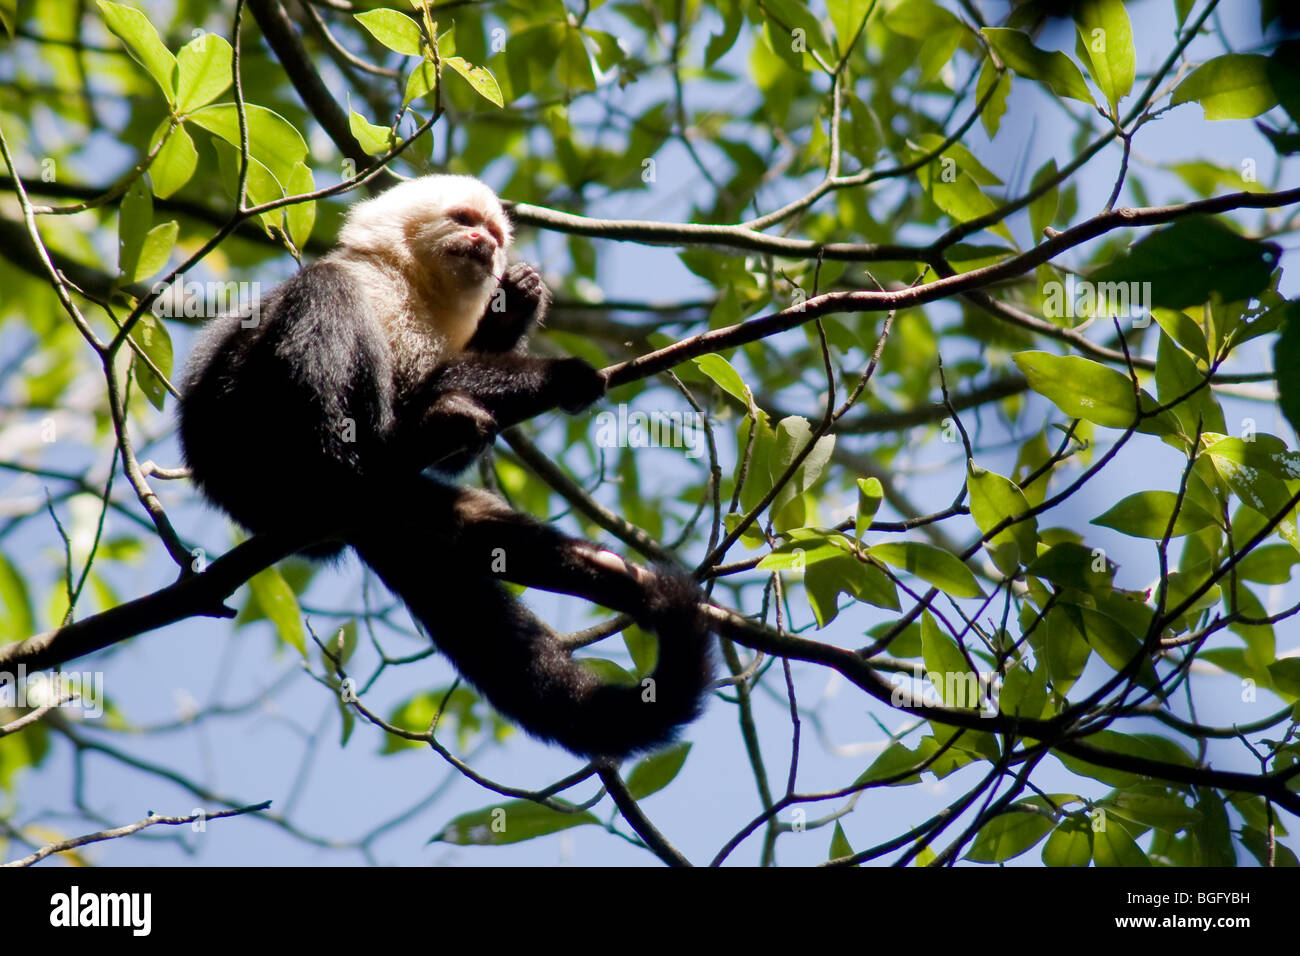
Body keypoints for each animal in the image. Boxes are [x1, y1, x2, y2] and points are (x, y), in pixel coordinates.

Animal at [177, 174, 714, 759]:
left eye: (495, 233)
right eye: (464, 219)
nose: (484, 242)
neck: (418, 291)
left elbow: (447, 427)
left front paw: (513, 308)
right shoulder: (375, 284)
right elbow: (417, 372)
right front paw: (556, 374)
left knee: (455, 524)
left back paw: (604, 571)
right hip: (246, 442)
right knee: (325, 295)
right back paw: (362, 453)